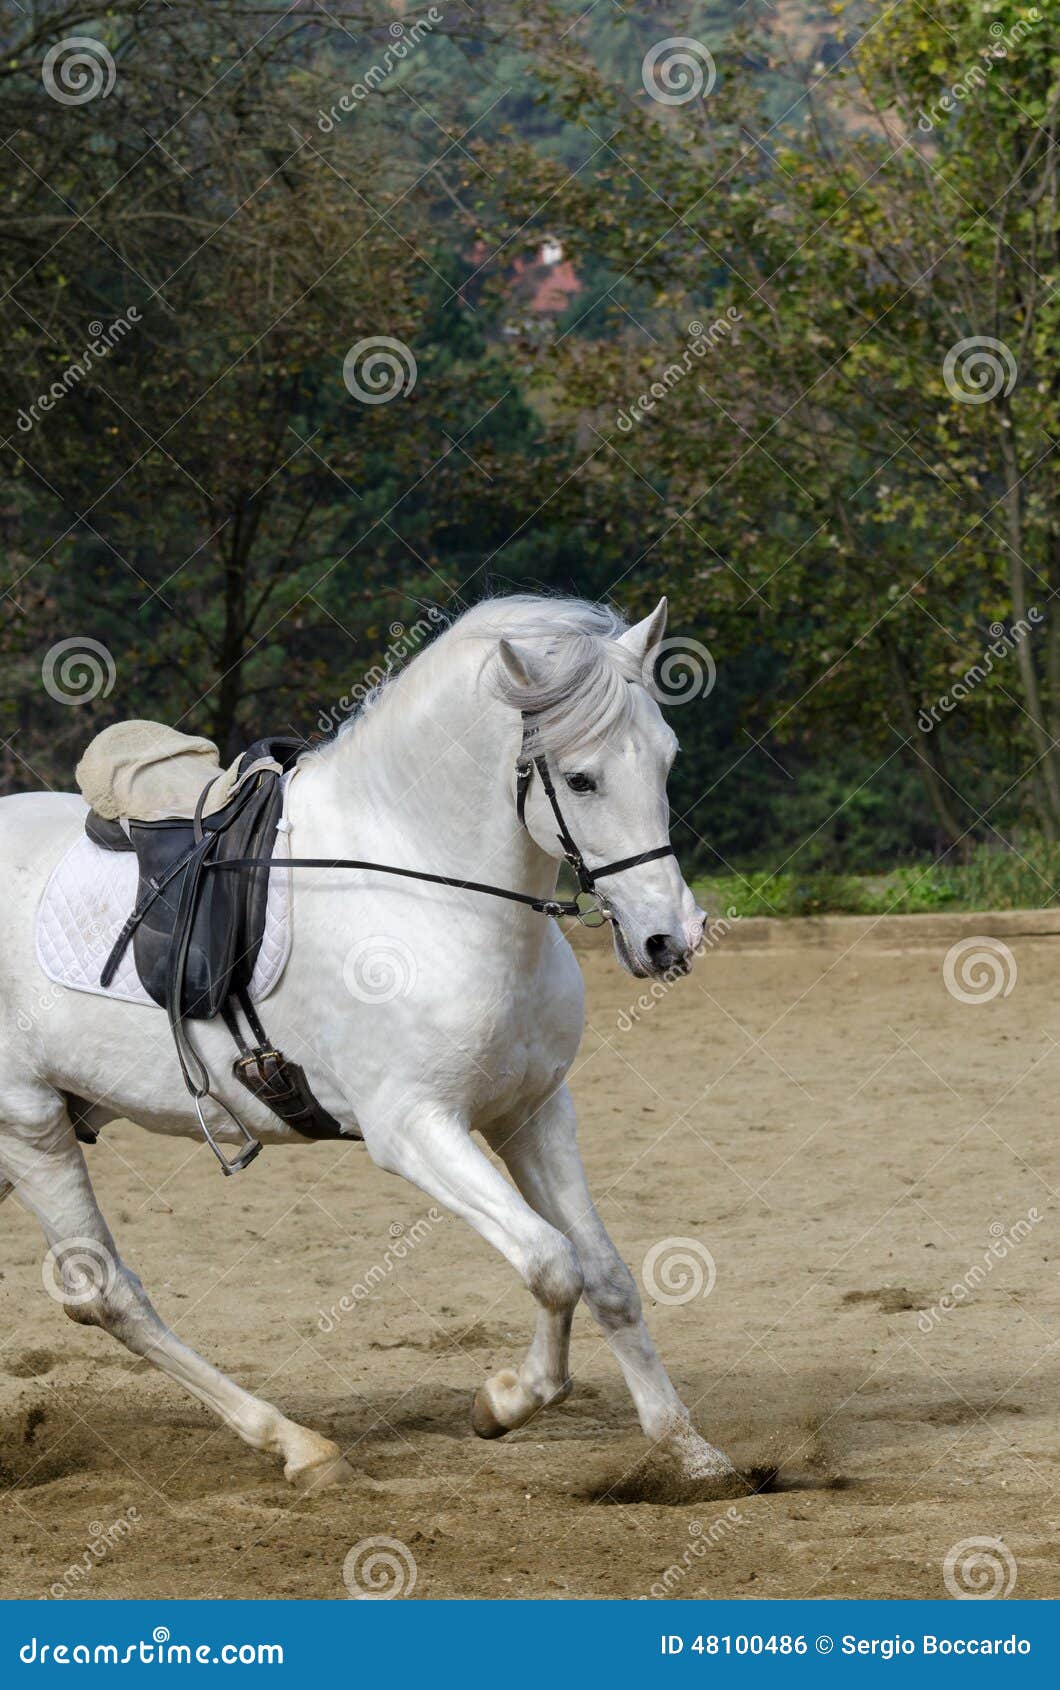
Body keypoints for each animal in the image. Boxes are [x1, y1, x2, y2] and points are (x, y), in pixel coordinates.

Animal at [0, 594, 735, 1491]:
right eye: (582, 778)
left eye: (666, 760)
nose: (670, 939)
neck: (421, 882)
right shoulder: (413, 1128)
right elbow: (550, 1264)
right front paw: (504, 1402)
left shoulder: (531, 1112)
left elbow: (607, 1275)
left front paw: (686, 1450)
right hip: (29, 1124)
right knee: (108, 1294)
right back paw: (299, 1445)